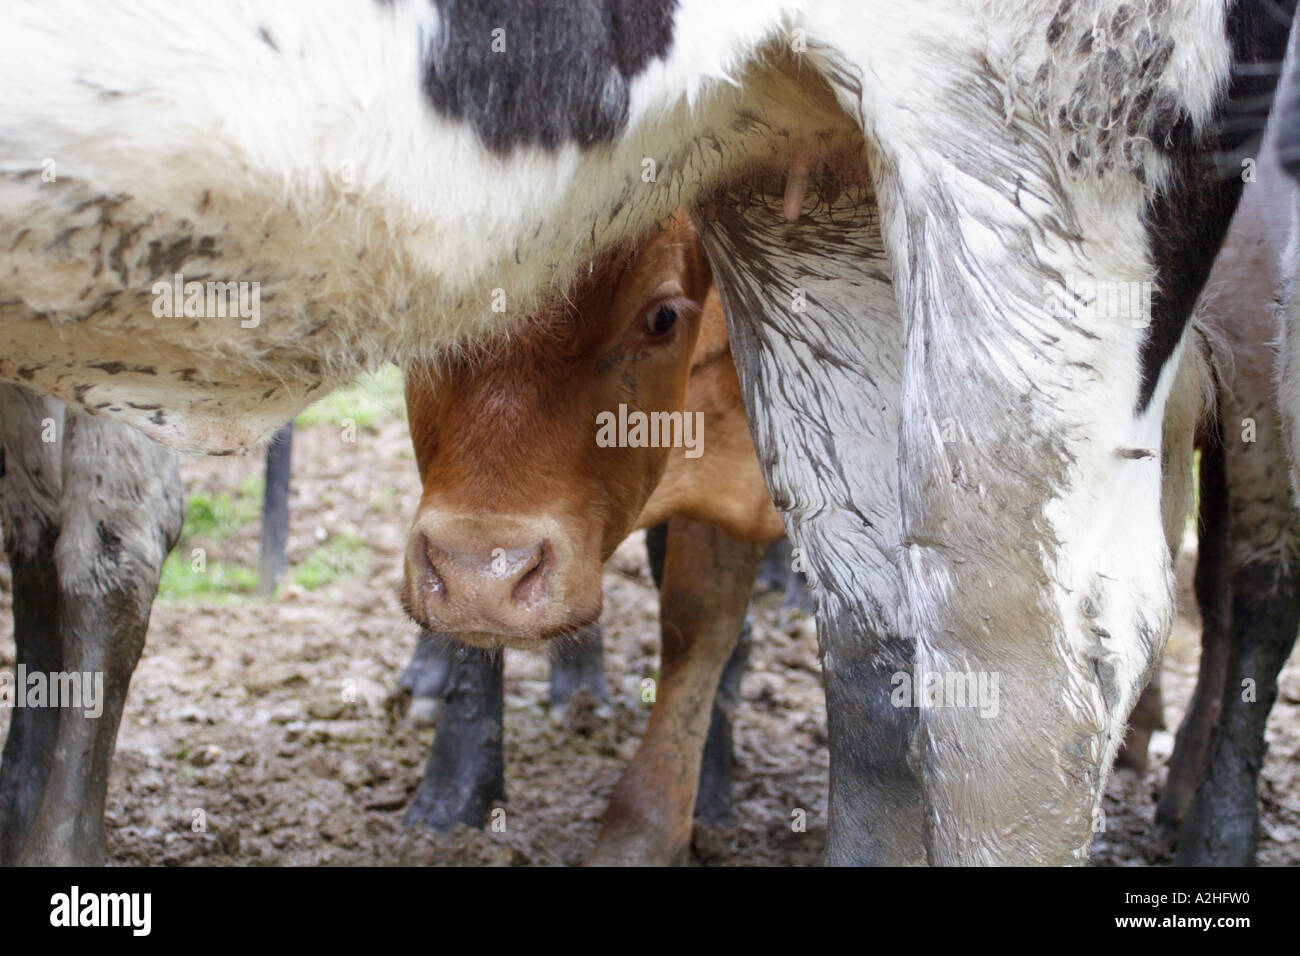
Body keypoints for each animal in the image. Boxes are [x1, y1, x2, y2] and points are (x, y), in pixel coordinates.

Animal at [1, 0, 1294, 865]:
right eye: (444, 337)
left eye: (661, 313)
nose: (487, 563)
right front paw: (456, 787)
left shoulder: (734, 497)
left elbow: (702, 631)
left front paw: (664, 809)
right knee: (889, 639)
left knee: (1078, 646)